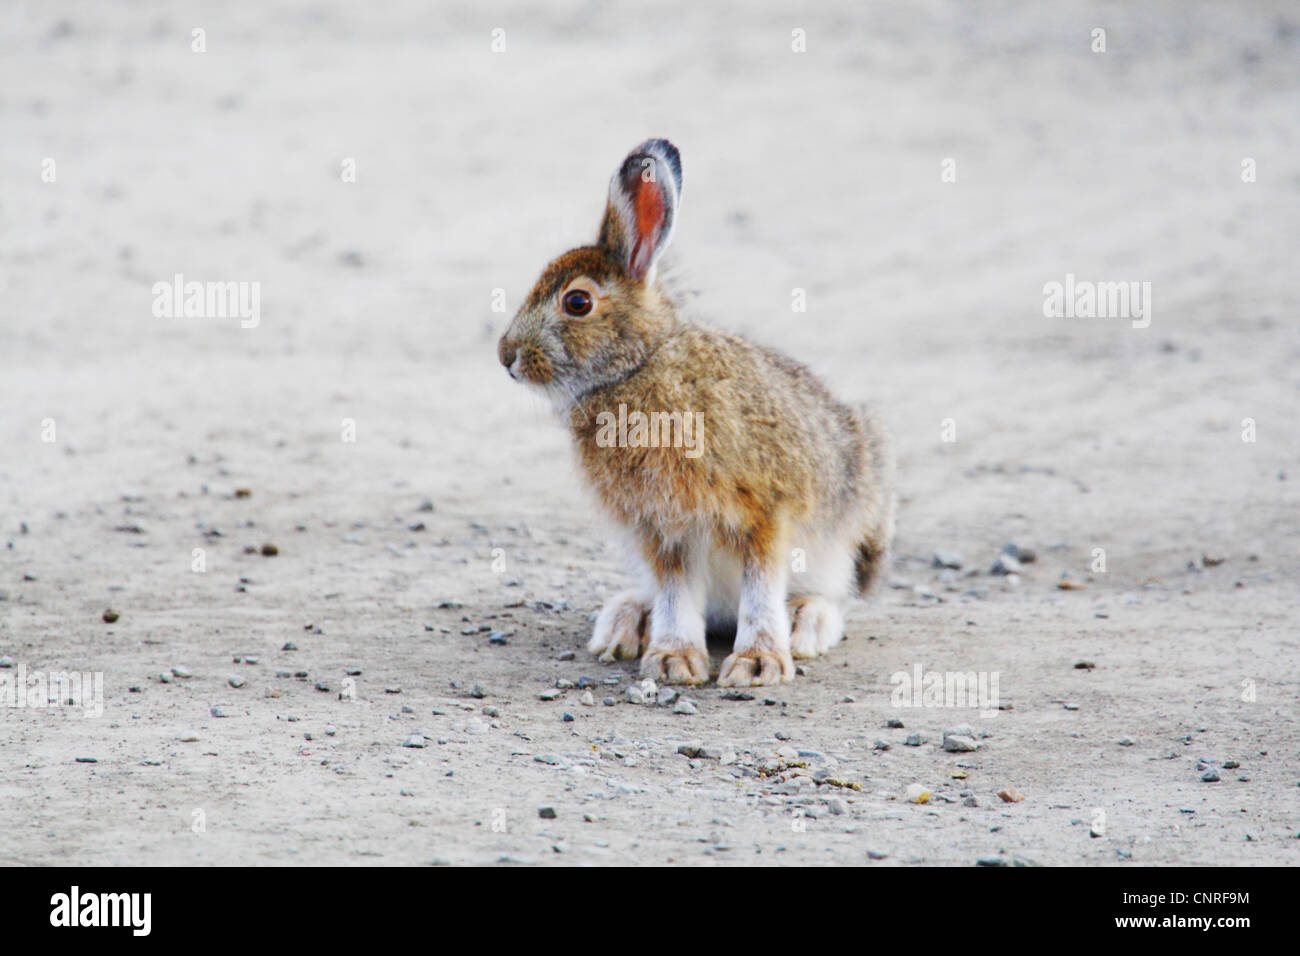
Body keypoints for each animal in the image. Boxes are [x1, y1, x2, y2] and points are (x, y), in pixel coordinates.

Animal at [497, 138, 895, 686]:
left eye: (577, 302)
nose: (506, 356)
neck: (640, 366)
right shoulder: (661, 529)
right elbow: (675, 594)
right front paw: (673, 660)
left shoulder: (766, 510)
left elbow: (760, 590)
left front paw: (757, 664)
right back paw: (626, 622)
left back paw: (804, 624)